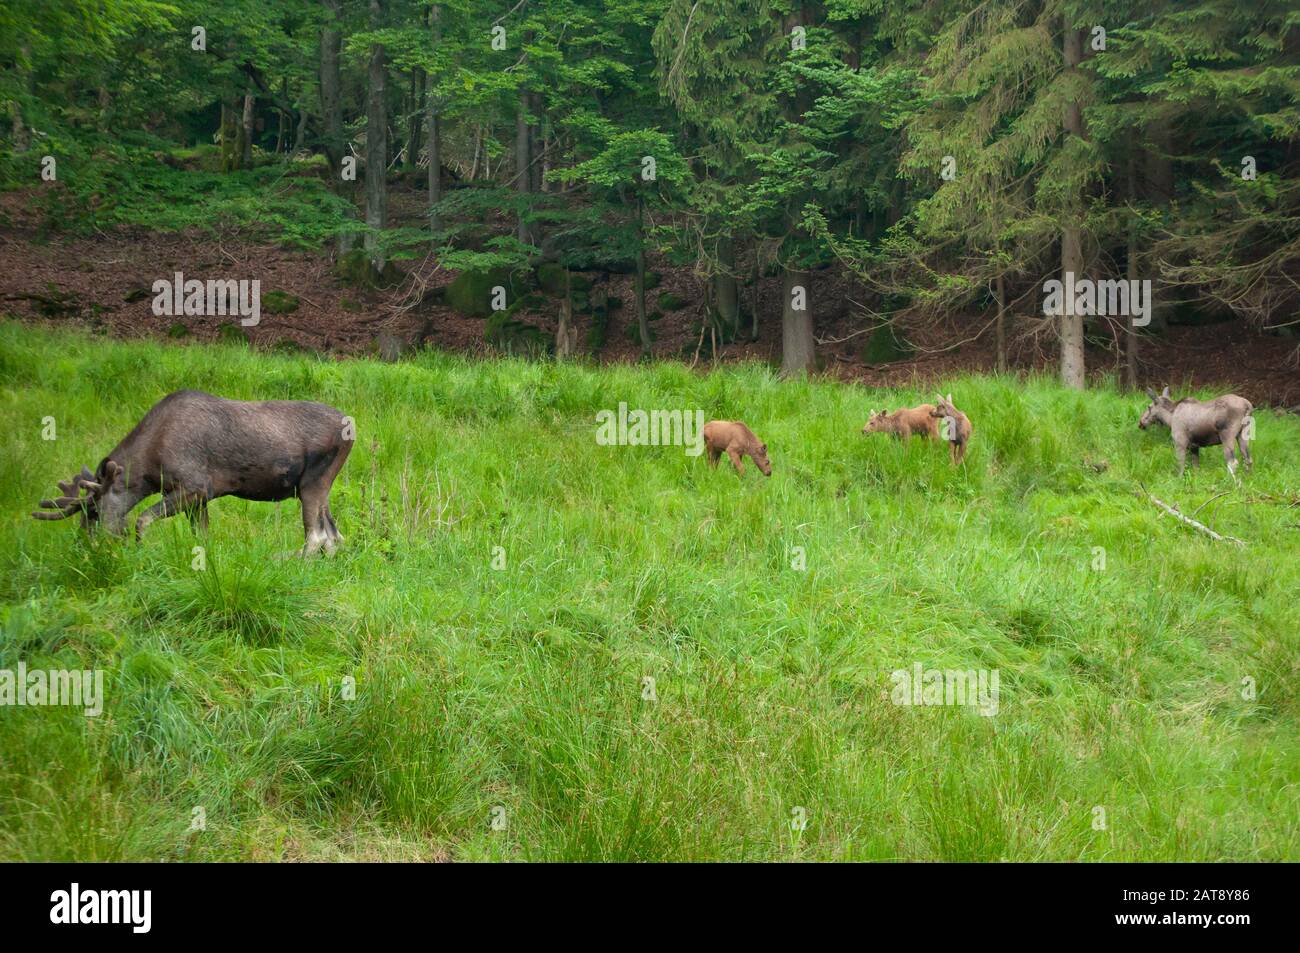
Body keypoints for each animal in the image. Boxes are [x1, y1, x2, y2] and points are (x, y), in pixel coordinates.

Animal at [32, 390, 353, 555]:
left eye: (94, 512)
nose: (83, 546)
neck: (149, 469)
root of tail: (352, 429)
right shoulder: (199, 500)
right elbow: (202, 536)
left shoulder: (196, 487)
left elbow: (142, 520)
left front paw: (141, 552)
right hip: (317, 486)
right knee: (334, 536)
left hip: (313, 482)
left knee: (316, 538)